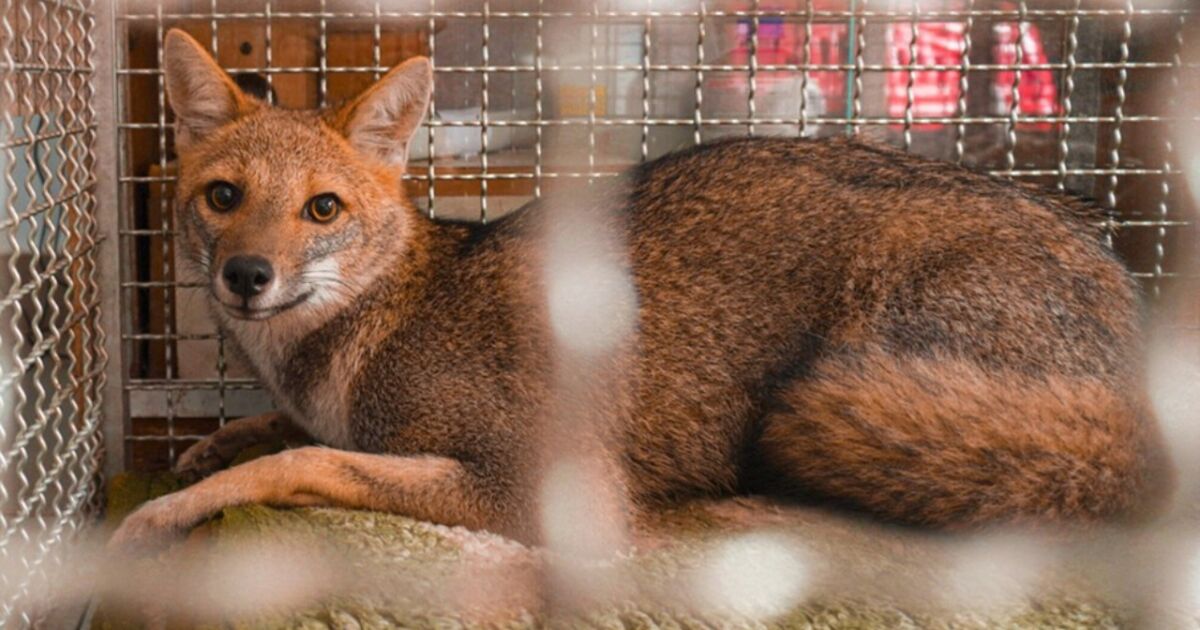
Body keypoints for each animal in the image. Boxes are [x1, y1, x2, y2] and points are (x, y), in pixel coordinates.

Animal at [110, 28, 1166, 551]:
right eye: (223, 197)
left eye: (321, 209)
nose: (248, 276)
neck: (384, 320)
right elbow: (290, 435)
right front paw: (213, 443)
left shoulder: (543, 484)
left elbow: (313, 463)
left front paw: (170, 510)